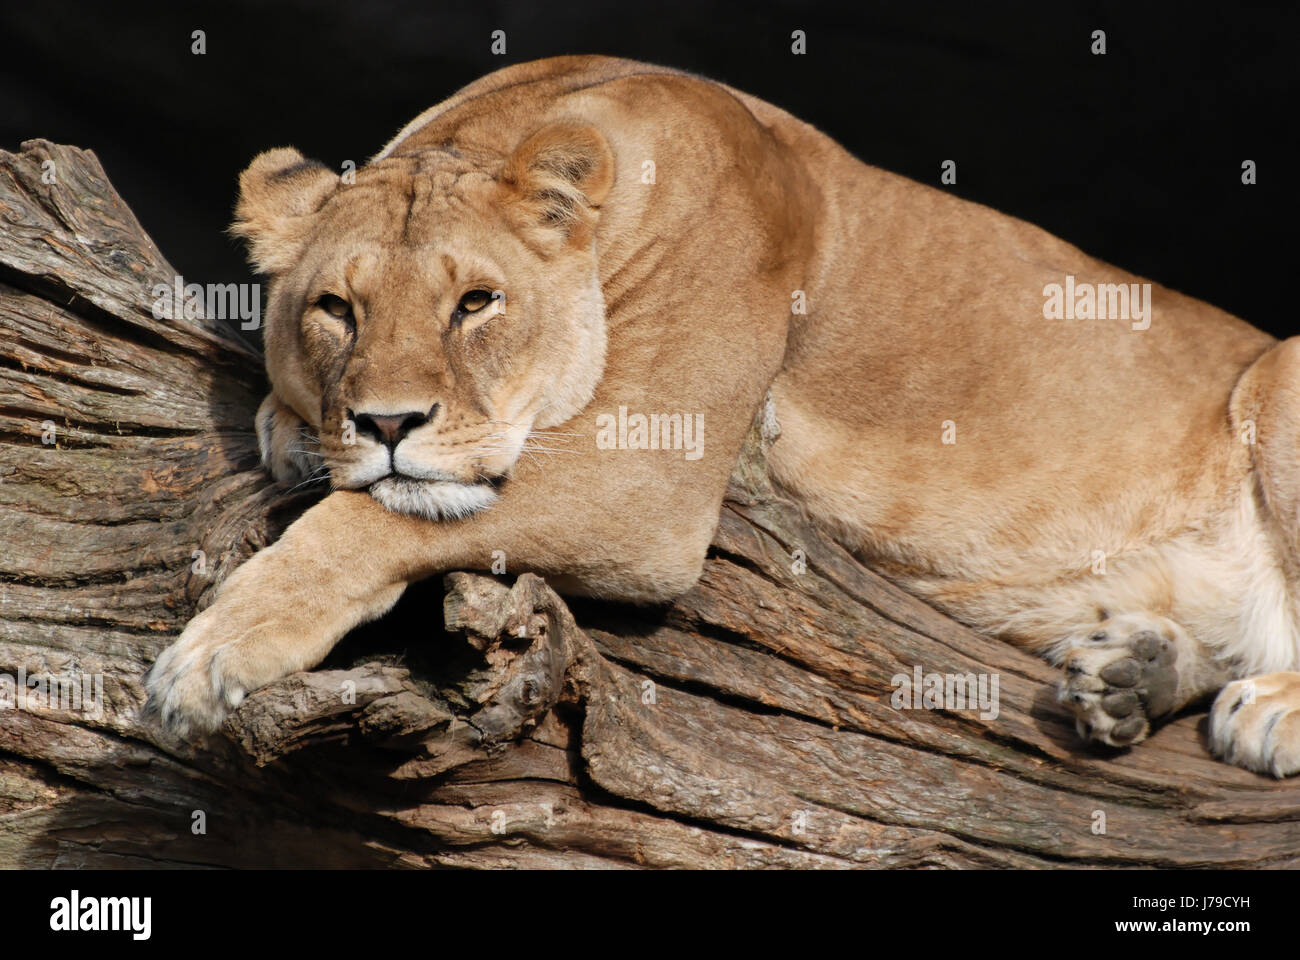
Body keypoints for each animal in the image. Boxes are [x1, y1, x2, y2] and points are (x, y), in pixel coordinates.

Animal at [146, 55, 1300, 777]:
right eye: (336, 309)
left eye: (476, 302)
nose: (388, 424)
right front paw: (292, 430)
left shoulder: (647, 479)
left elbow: (367, 521)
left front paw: (213, 658)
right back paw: (1129, 675)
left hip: (1278, 381)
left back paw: (1265, 706)